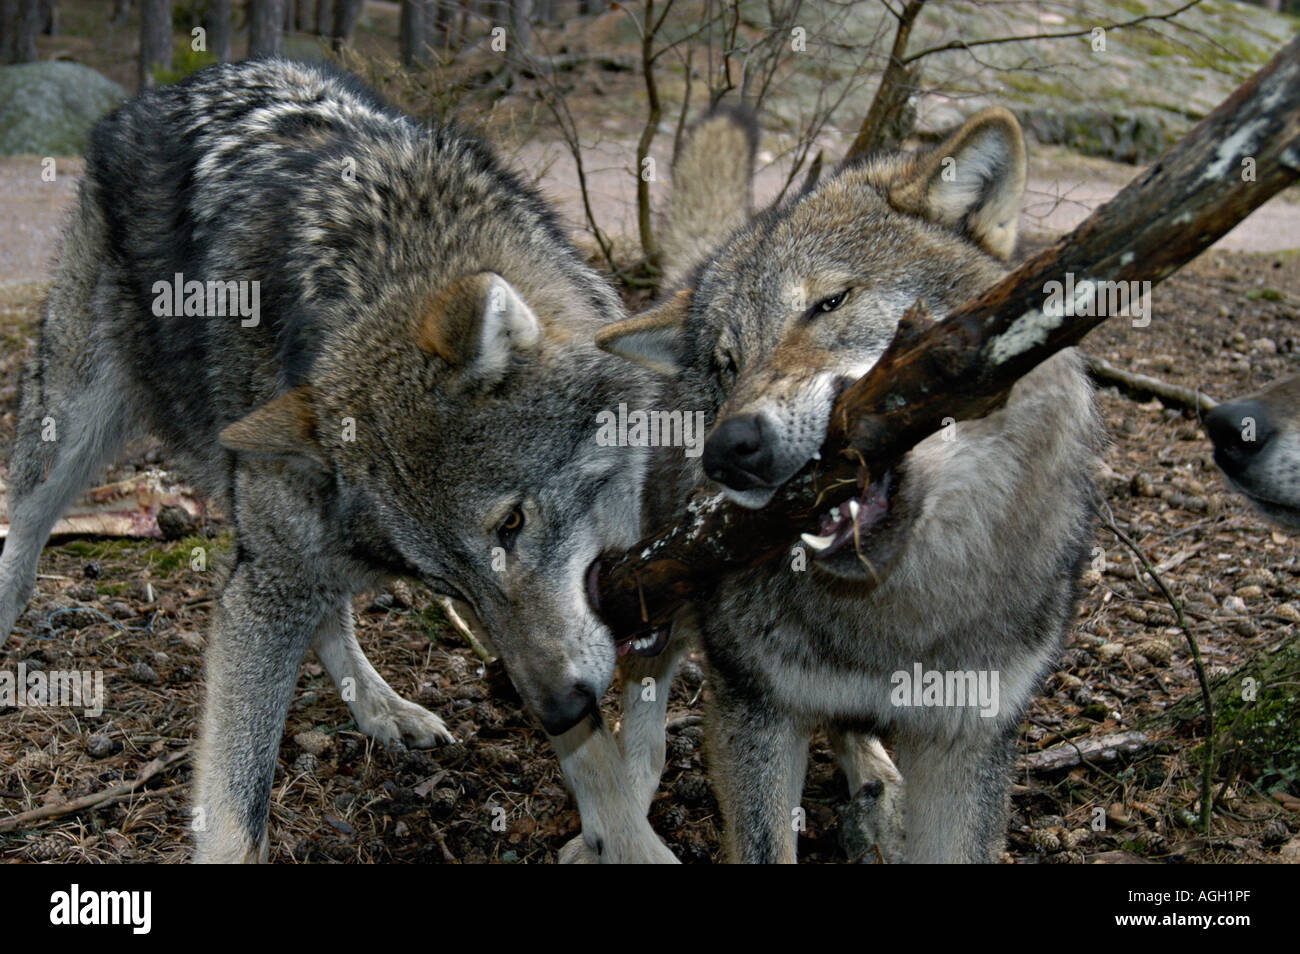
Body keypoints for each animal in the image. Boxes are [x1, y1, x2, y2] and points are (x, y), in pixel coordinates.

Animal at [0, 58, 673, 862]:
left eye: (510, 525)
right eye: (447, 580)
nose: (555, 707)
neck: (392, 249)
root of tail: (167, 88)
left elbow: (600, 758)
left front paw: (627, 835)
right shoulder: (265, 587)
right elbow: (234, 807)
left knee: (331, 615)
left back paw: (383, 706)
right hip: (78, 431)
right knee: (22, 533)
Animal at [594, 106, 1102, 862]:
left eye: (830, 302)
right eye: (726, 363)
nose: (728, 450)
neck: (895, 616)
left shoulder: (970, 736)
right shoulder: (755, 706)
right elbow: (762, 841)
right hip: (660, 591)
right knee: (643, 687)